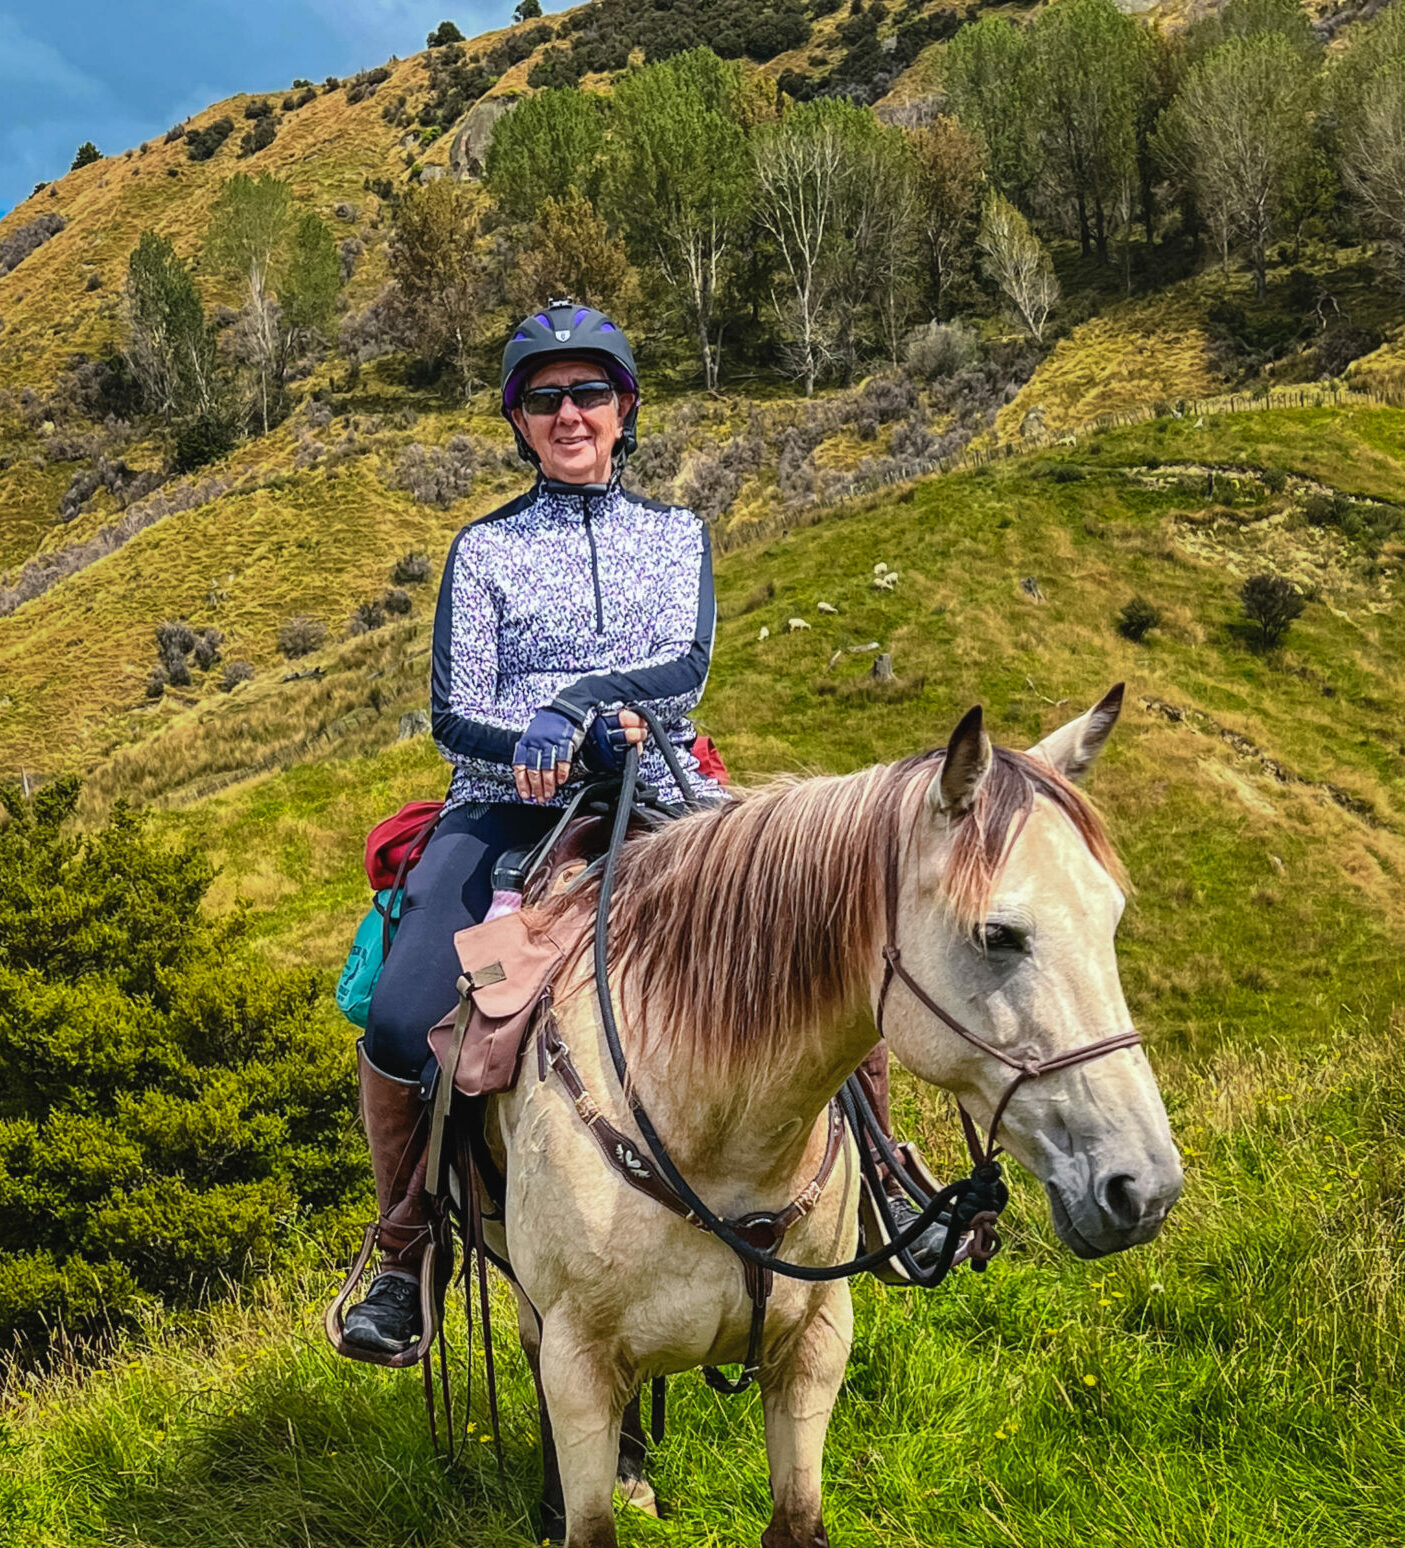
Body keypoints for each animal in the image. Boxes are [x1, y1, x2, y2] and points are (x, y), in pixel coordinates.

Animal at [482, 686, 1184, 1547]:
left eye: (1111, 921)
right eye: (998, 934)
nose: (1143, 1188)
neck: (716, 1134)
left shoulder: (815, 1348)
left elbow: (797, 1520)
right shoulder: (578, 1366)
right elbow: (586, 1514)